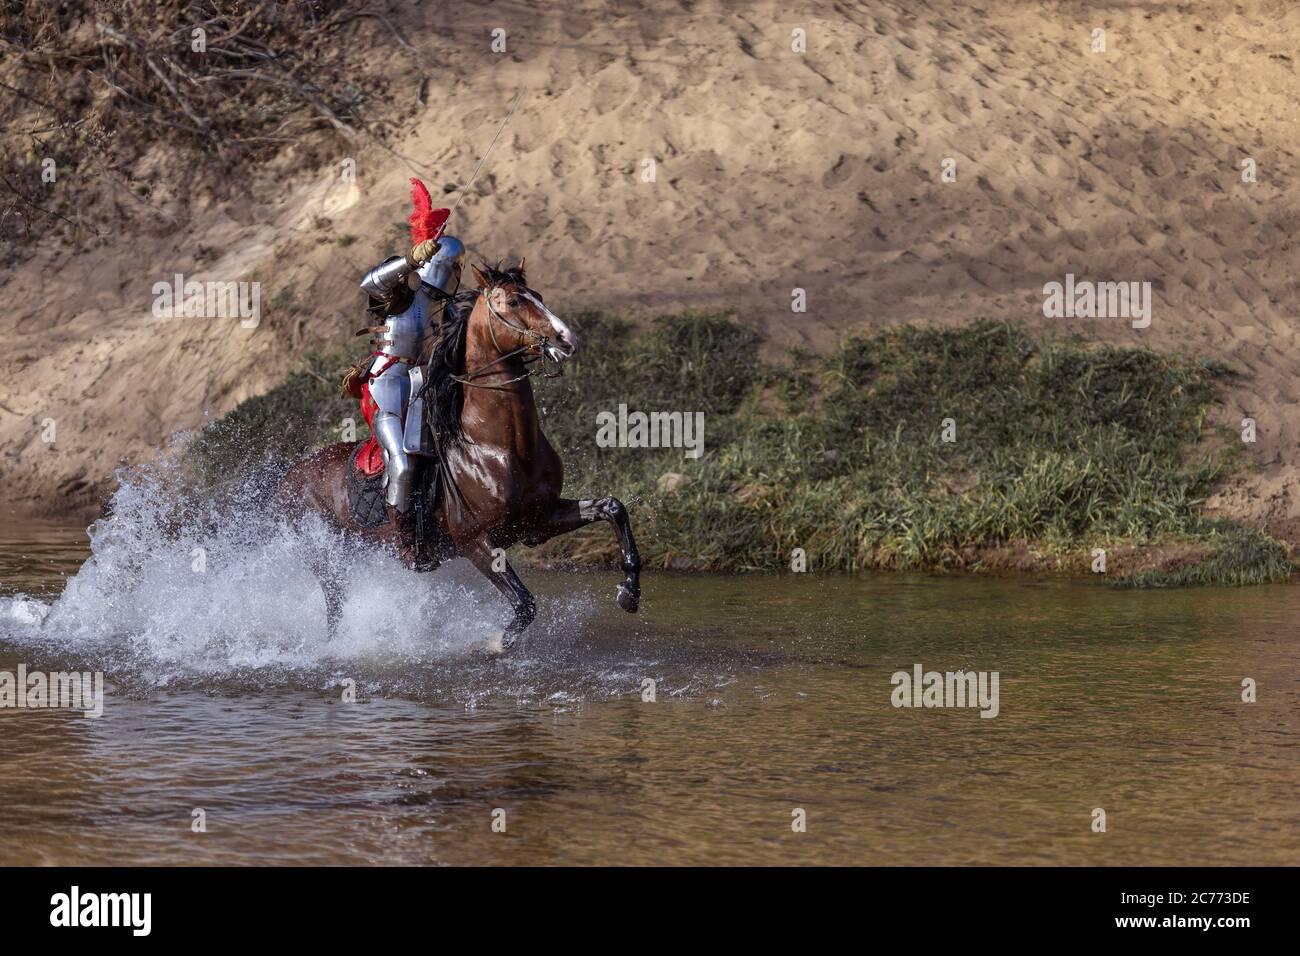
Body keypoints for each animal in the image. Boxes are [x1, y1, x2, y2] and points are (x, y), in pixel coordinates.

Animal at [272, 260, 642, 649]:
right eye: (514, 302)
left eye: (538, 296)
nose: (567, 339)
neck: (498, 447)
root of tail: (289, 474)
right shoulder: (474, 541)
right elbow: (524, 603)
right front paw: (496, 642)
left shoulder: (540, 518)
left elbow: (612, 507)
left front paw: (629, 592)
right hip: (325, 555)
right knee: (335, 600)